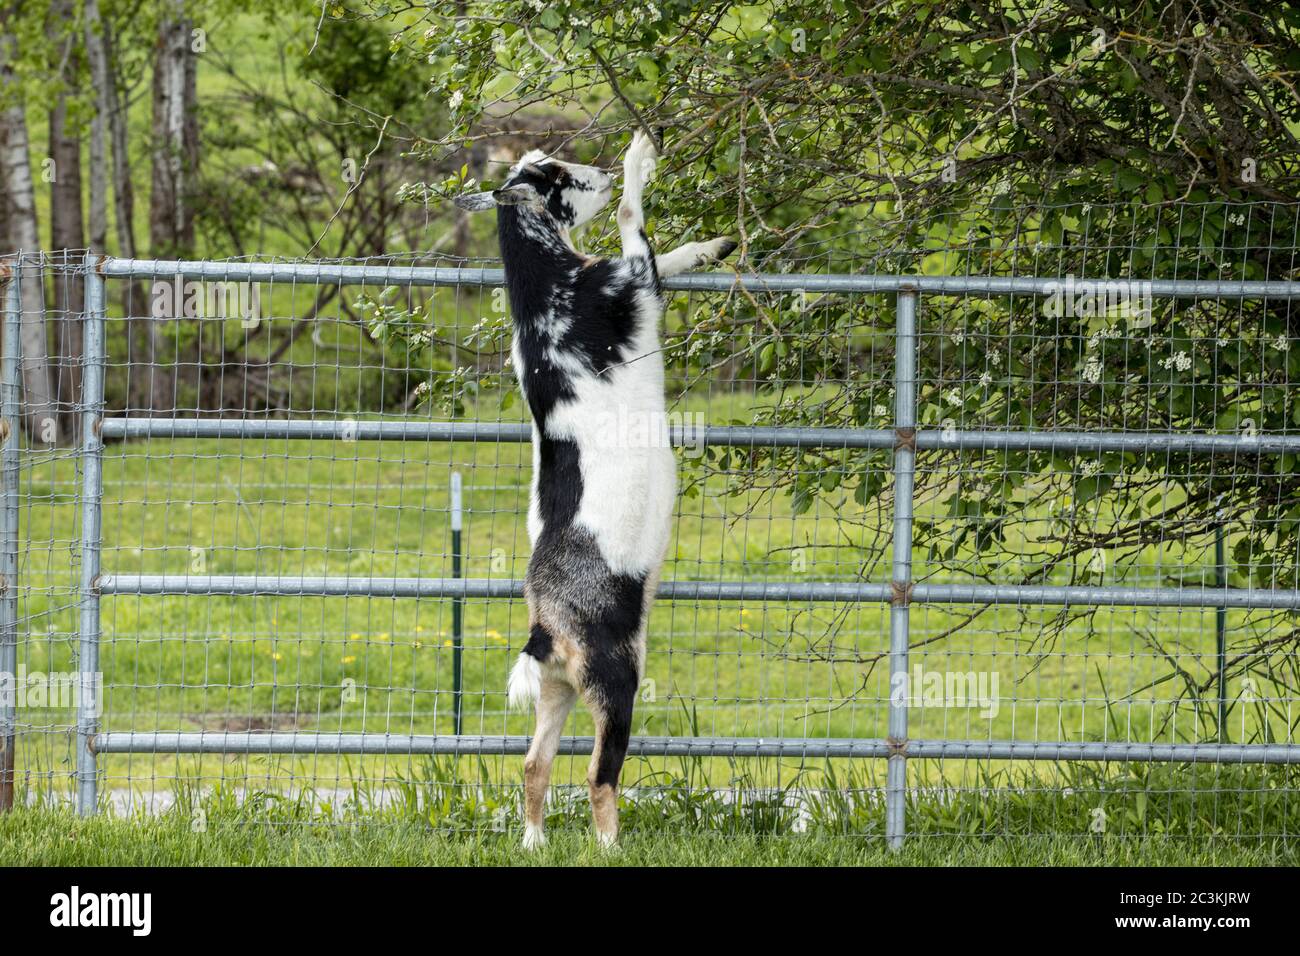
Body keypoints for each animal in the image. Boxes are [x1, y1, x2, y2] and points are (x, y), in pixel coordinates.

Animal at [454, 132, 735, 847]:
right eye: (555, 174)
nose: (600, 173)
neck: (547, 292)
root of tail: (545, 630)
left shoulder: (636, 283)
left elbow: (665, 256)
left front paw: (715, 246)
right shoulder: (626, 282)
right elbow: (636, 225)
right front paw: (639, 157)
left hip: (555, 690)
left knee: (533, 765)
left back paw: (534, 843)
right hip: (616, 681)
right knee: (597, 775)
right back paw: (610, 846)